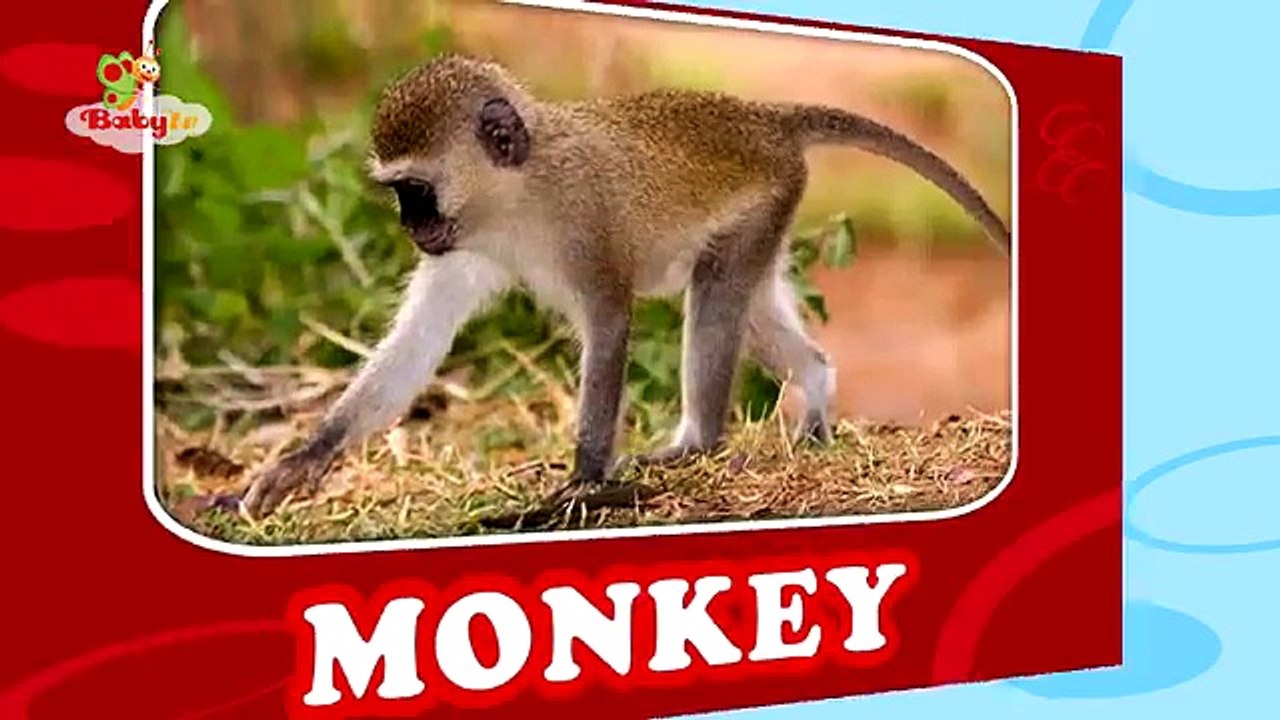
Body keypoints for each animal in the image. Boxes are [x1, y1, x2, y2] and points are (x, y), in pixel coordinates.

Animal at [240, 54, 1010, 519]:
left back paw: (696, 443)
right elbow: (419, 343)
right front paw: (304, 459)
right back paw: (816, 391)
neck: (521, 193)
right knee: (750, 300)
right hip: (769, 217)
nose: (411, 229)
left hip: (763, 204)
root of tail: (763, 119)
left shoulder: (585, 224)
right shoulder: (465, 250)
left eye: (417, 192)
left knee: (715, 295)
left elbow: (609, 322)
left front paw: (583, 481)